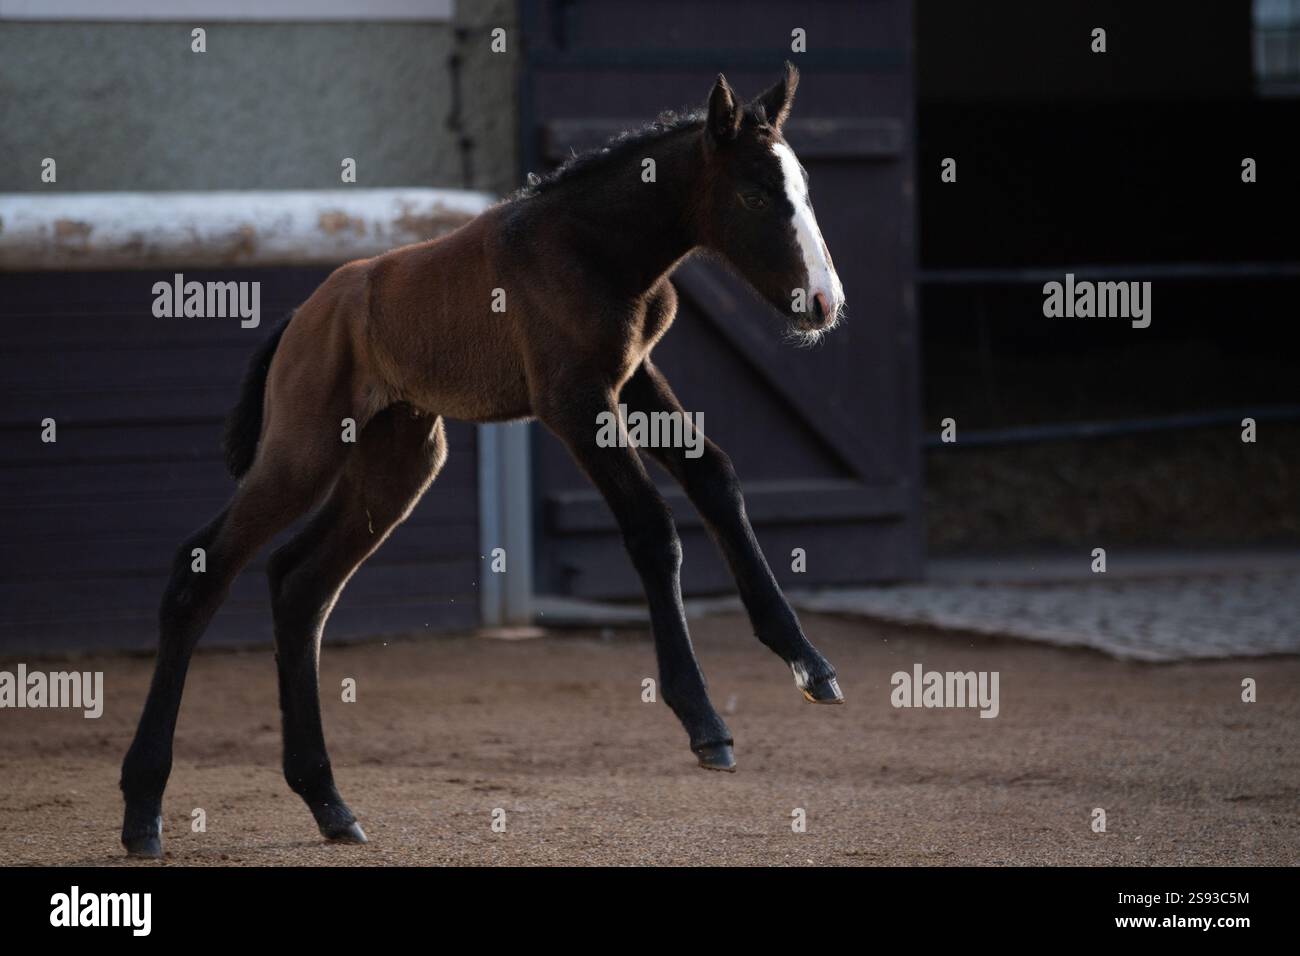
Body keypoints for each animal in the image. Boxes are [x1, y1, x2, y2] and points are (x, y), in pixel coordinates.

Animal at [120, 62, 846, 858]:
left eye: (805, 188)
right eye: (754, 194)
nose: (823, 303)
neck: (592, 249)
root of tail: (302, 319)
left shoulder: (634, 378)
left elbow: (716, 478)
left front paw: (808, 663)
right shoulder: (573, 403)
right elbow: (652, 528)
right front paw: (705, 722)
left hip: (401, 462)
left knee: (299, 584)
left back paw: (329, 802)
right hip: (301, 453)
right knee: (203, 568)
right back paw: (143, 810)